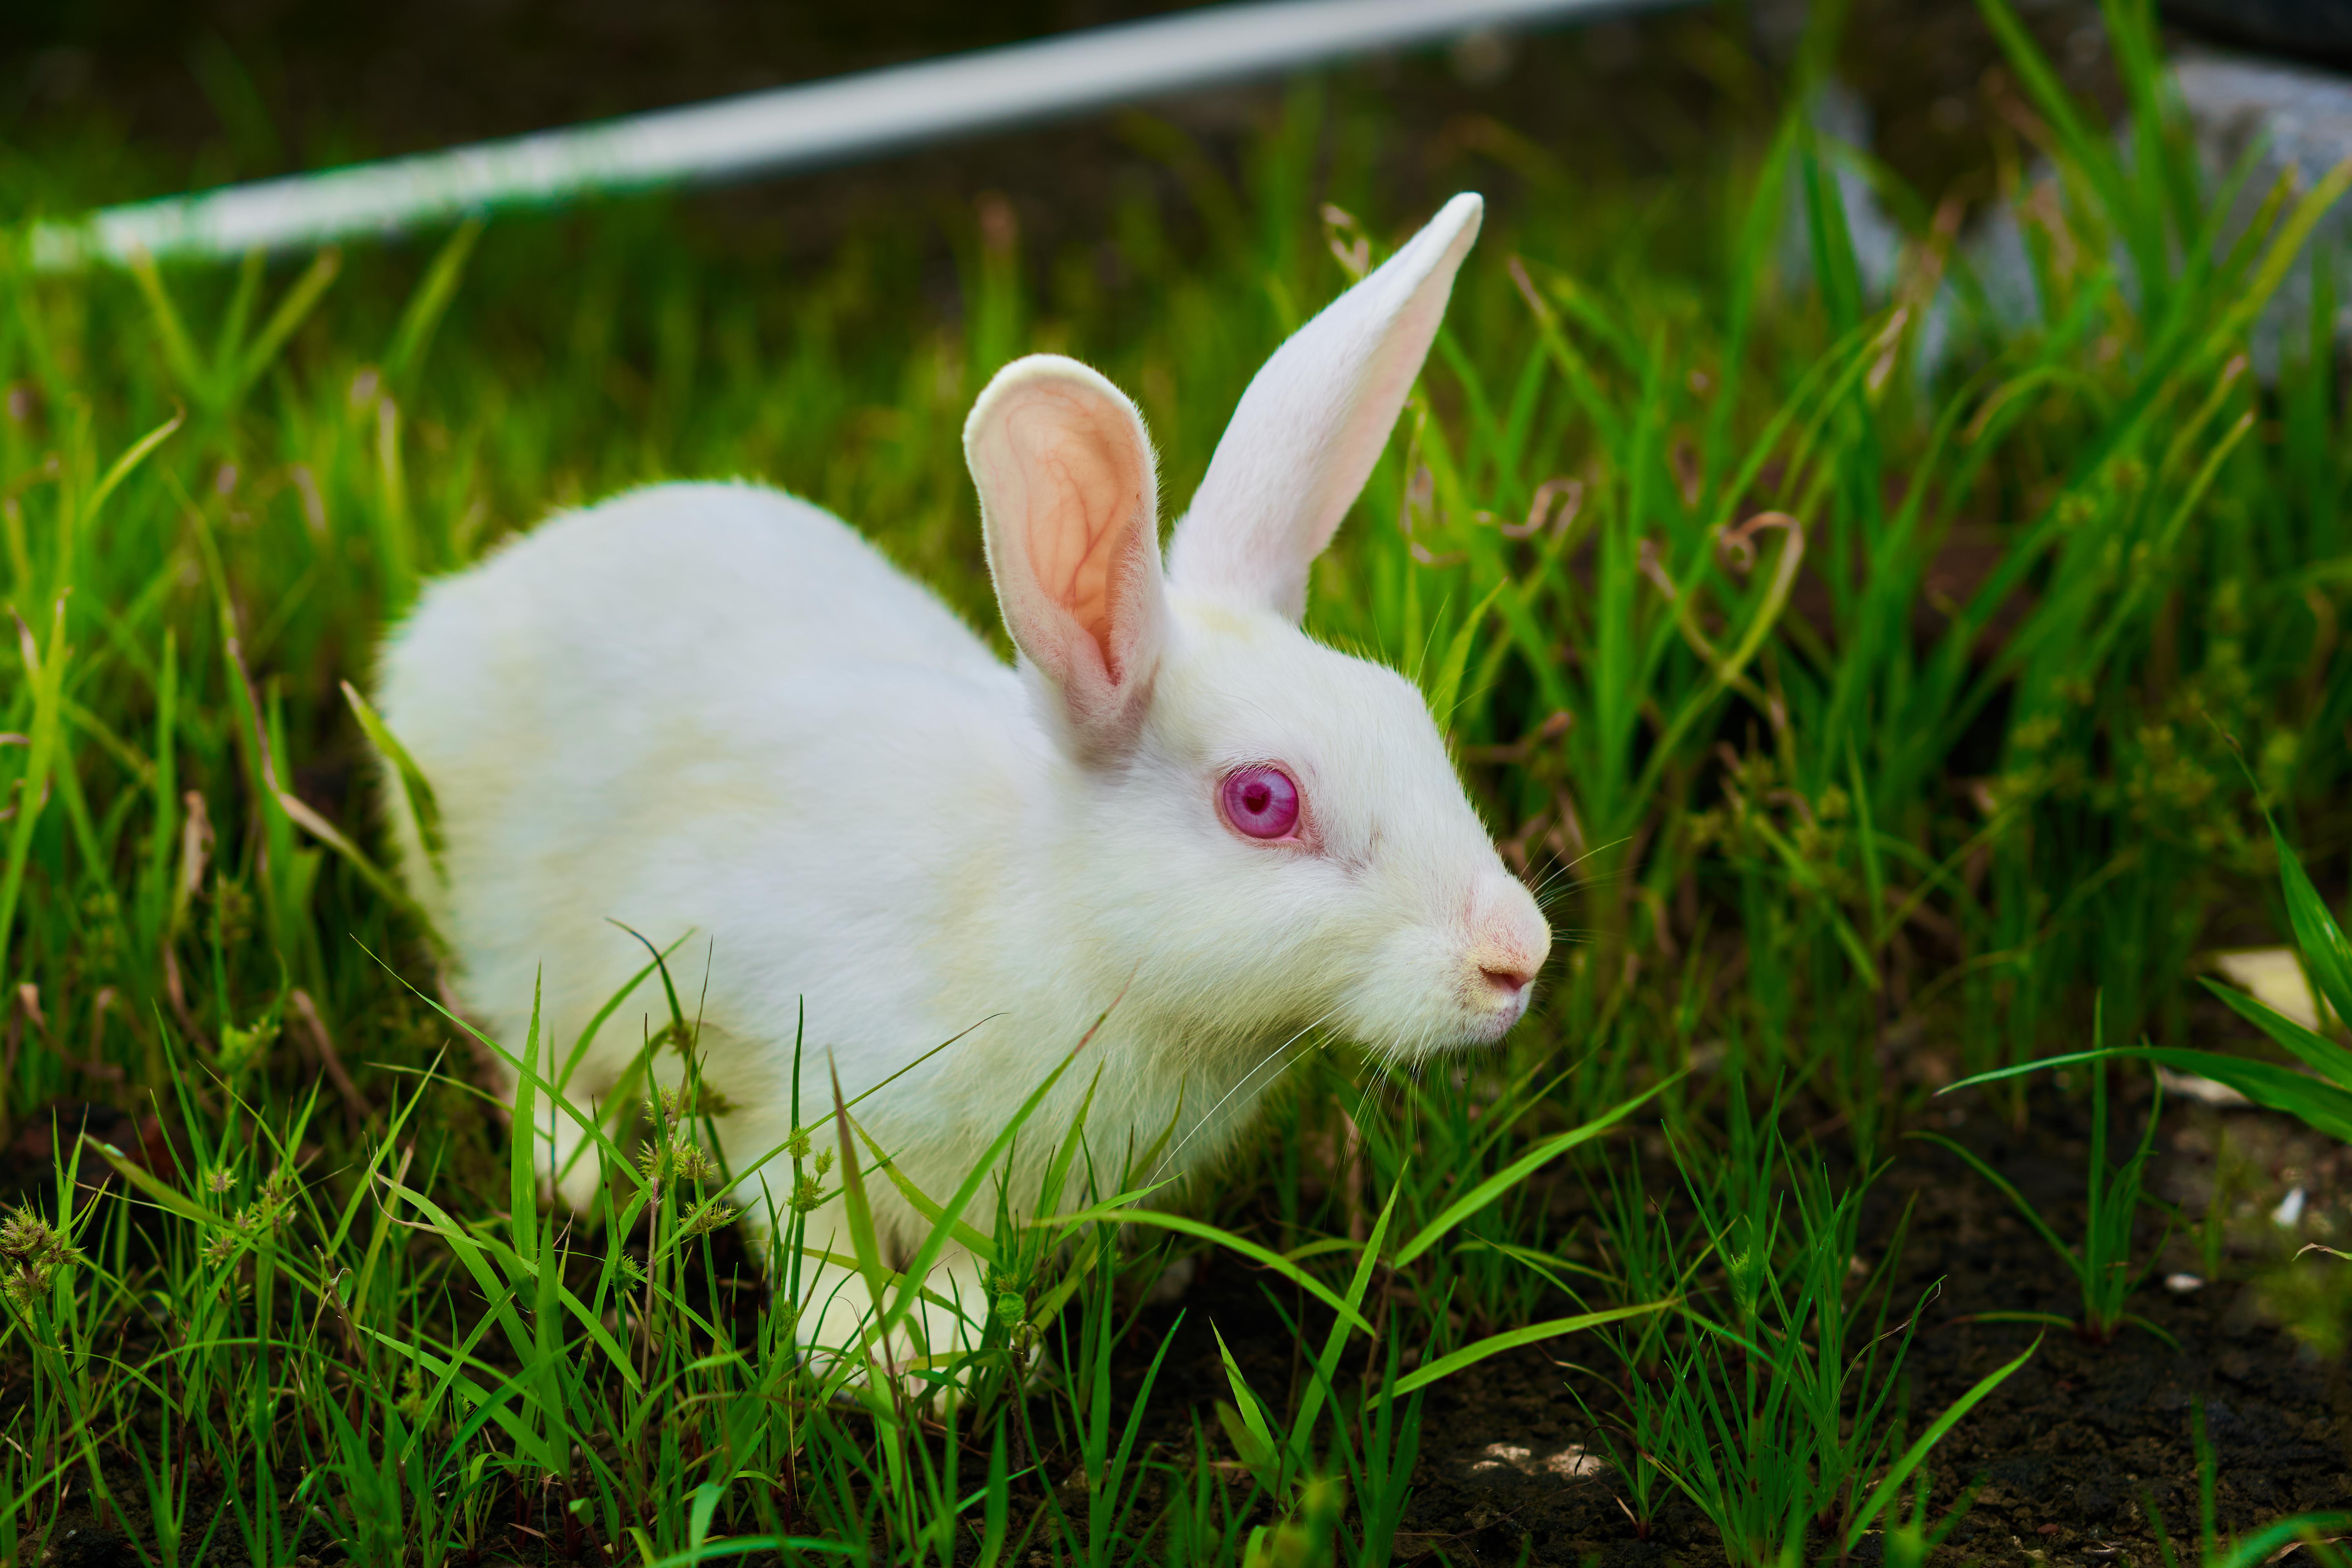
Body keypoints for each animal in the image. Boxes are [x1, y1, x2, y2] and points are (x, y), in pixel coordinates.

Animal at [374, 190, 1550, 1377]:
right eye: (1262, 801)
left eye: (1408, 711)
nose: (1518, 957)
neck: (1066, 923)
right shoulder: (775, 1066)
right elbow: (804, 1222)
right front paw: (862, 1353)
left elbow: (958, 1264)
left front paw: (956, 1342)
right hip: (507, 919)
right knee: (523, 1040)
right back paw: (584, 1171)